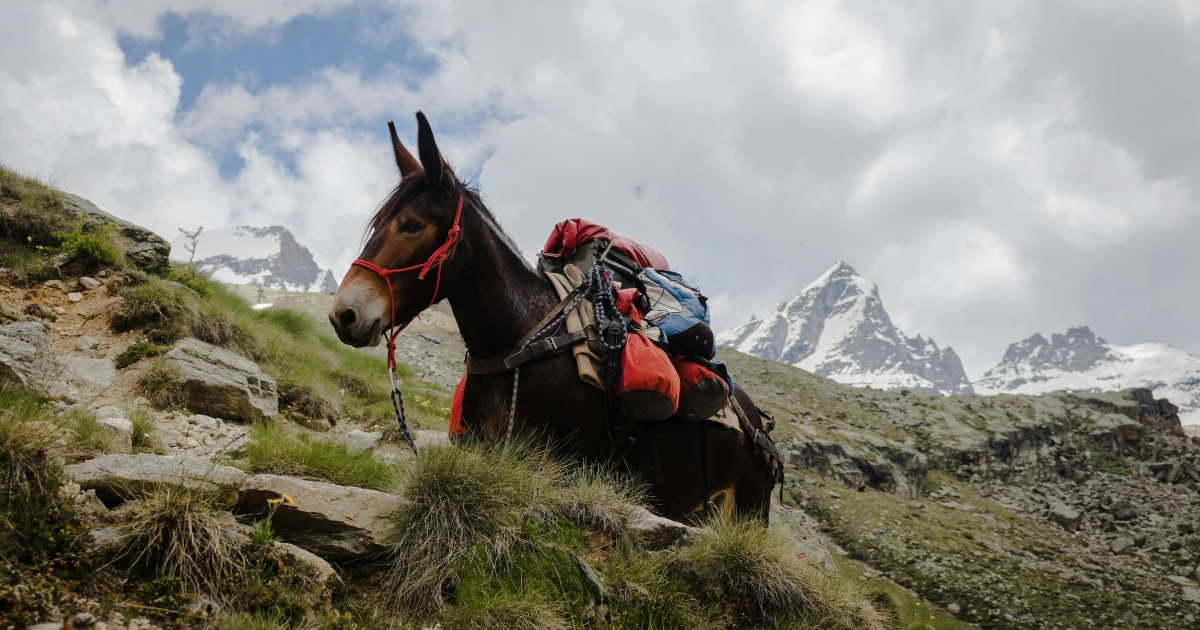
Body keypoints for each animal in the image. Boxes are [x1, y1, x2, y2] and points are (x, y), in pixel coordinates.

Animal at [329, 112, 778, 522]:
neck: (517, 345)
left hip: (746, 510)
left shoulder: (562, 470)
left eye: (411, 225)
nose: (343, 315)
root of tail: (757, 422)